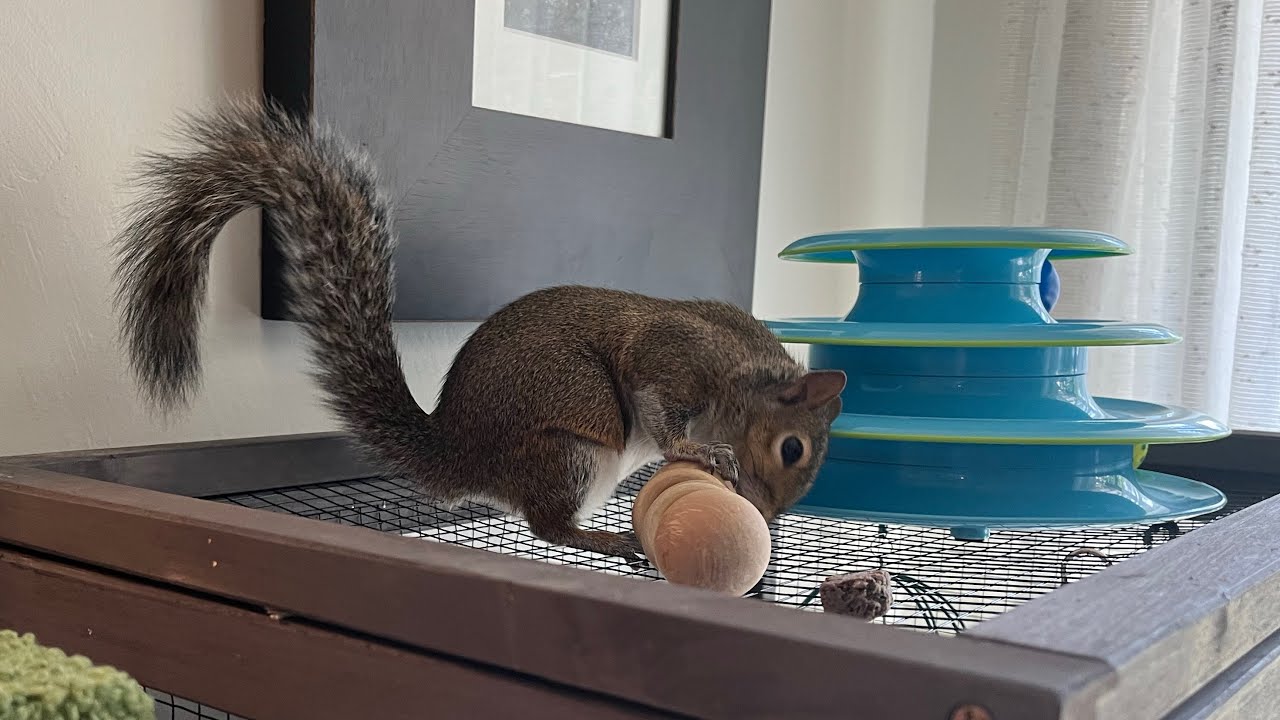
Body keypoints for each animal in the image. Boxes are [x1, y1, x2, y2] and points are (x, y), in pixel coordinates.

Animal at [112, 100, 847, 562]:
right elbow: (661, 410)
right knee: (547, 525)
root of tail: (460, 455)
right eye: (792, 449)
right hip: (570, 448)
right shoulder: (675, 356)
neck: (741, 372)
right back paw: (602, 539)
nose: (766, 518)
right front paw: (697, 451)